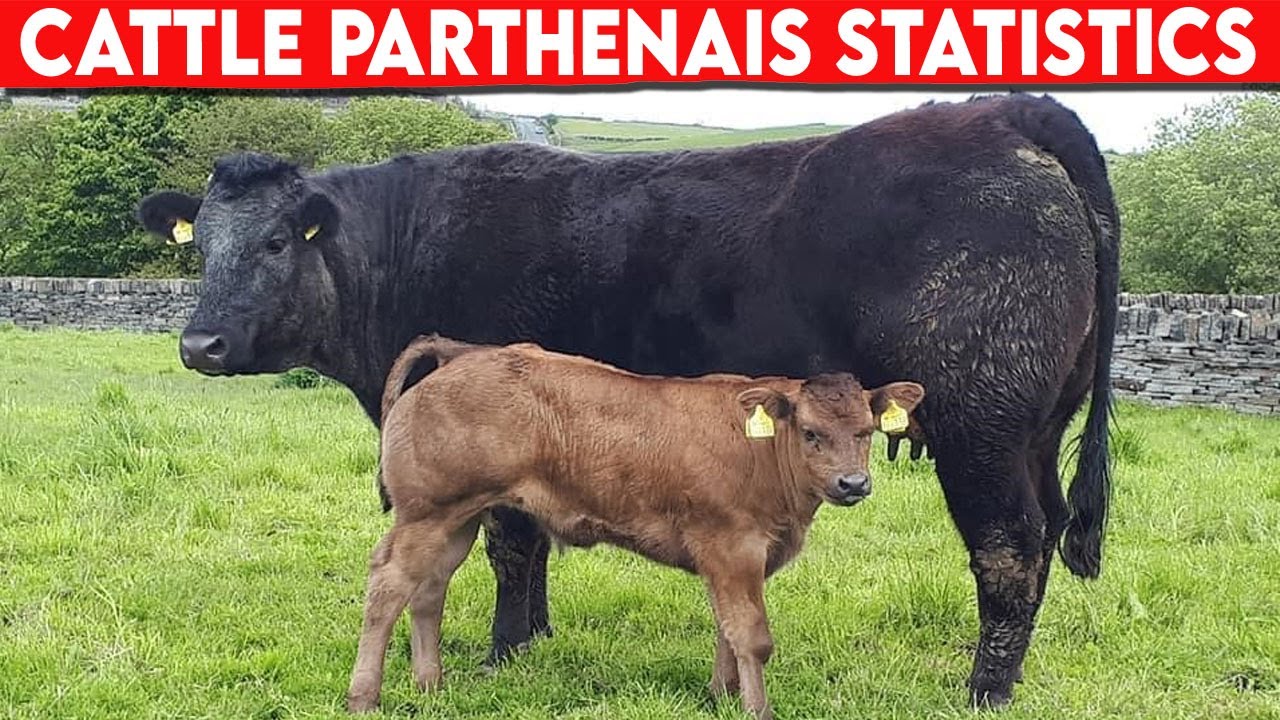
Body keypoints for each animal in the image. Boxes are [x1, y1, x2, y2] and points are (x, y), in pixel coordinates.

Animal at [347, 334, 926, 718]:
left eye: (866, 430)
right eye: (810, 432)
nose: (853, 483)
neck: (759, 450)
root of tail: (458, 353)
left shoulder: (726, 559)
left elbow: (726, 628)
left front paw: (720, 696)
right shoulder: (734, 545)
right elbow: (753, 636)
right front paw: (755, 708)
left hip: (457, 519)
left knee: (429, 590)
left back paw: (430, 684)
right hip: (427, 512)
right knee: (387, 587)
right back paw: (364, 696)